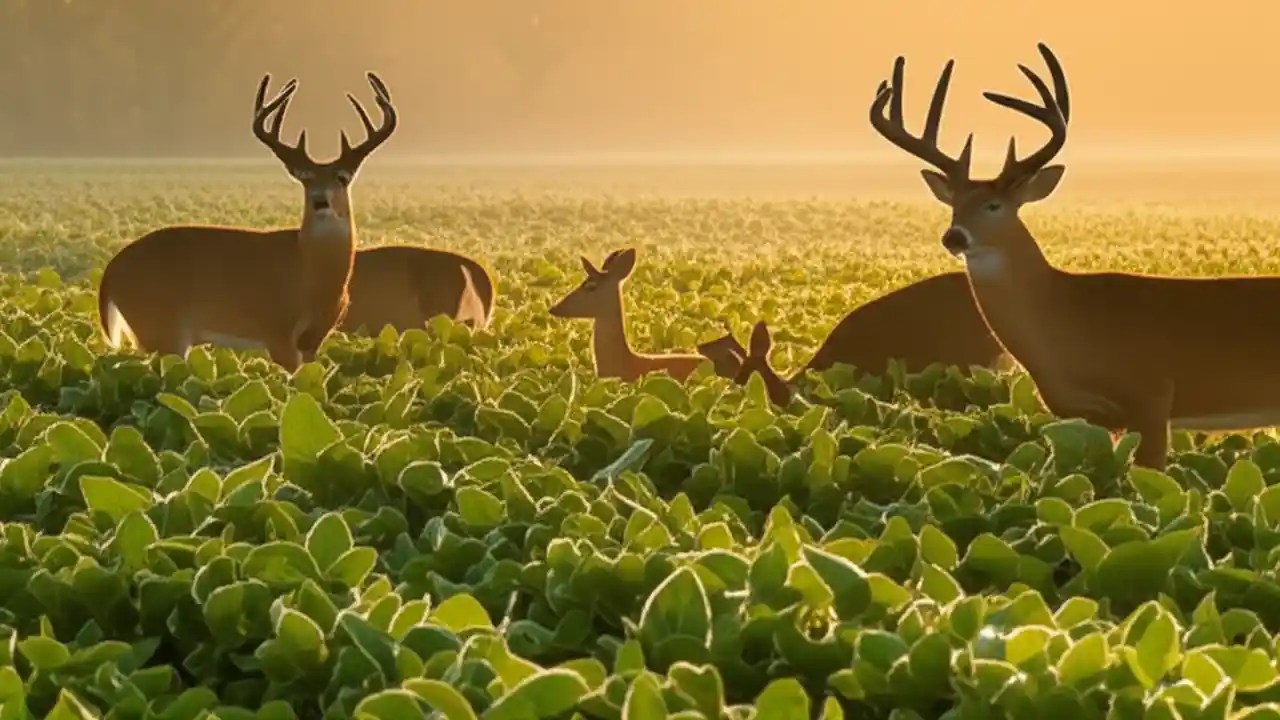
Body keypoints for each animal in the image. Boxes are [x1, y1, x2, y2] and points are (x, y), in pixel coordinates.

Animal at [97, 71, 398, 372]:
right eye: (304, 178)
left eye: (342, 177)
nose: (320, 200)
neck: (312, 278)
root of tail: (110, 272)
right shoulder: (276, 330)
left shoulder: (315, 339)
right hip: (160, 328)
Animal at [867, 41, 1280, 470]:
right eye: (954, 206)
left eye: (995, 205)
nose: (954, 236)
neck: (1065, 318)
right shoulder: (1089, 417)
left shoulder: (1152, 396)